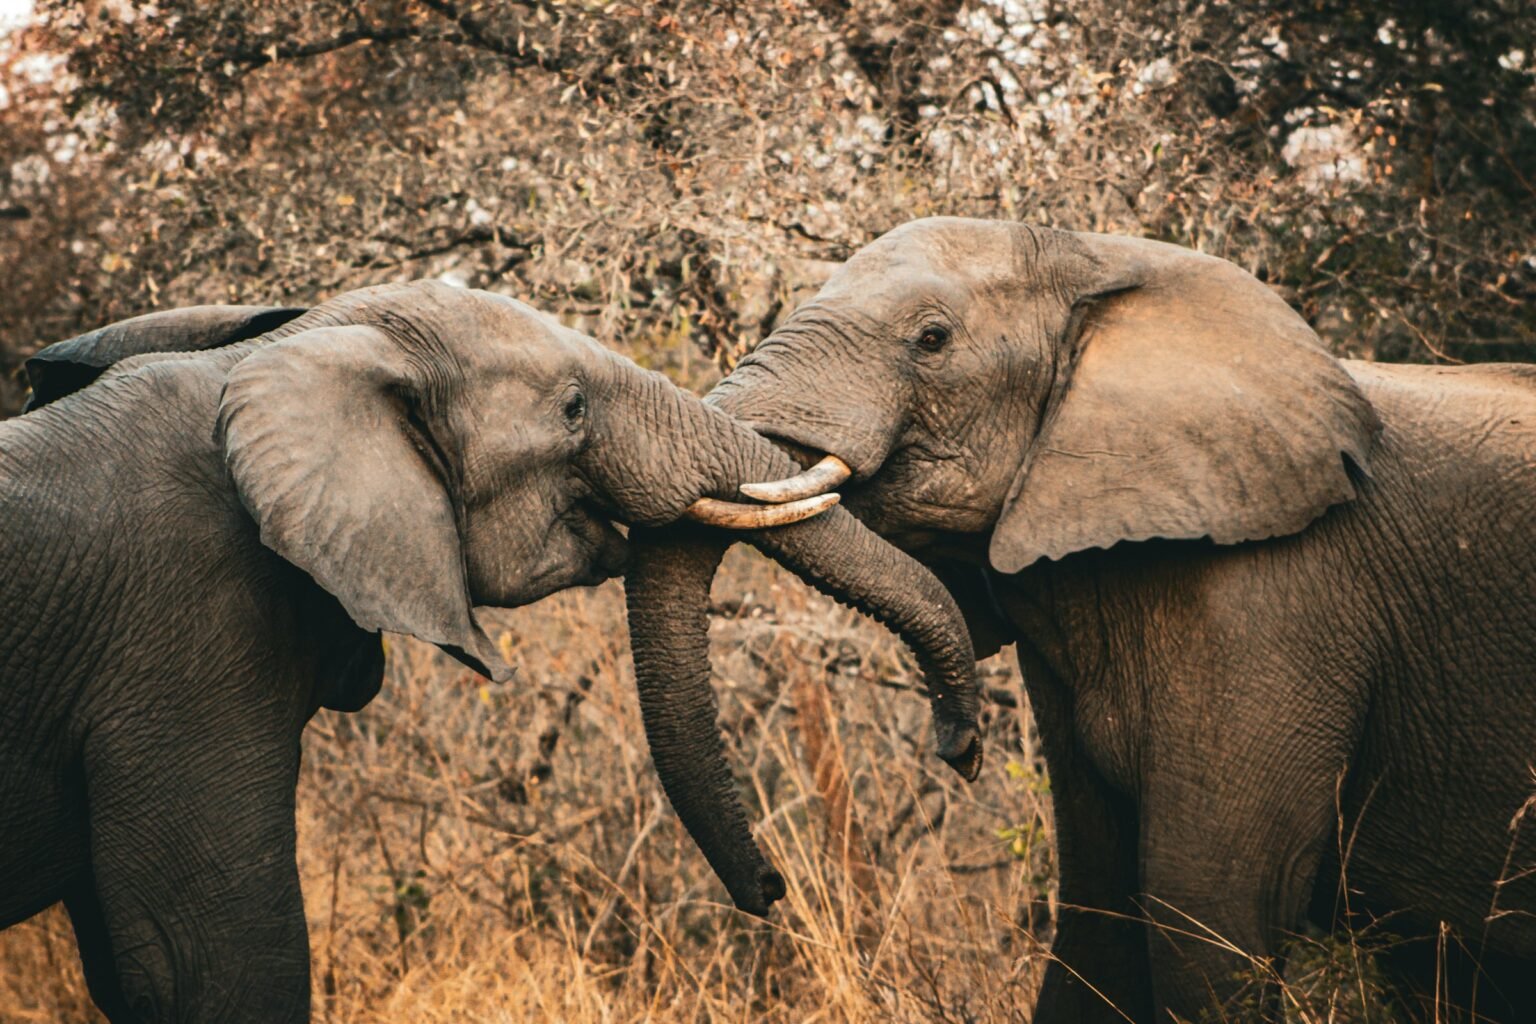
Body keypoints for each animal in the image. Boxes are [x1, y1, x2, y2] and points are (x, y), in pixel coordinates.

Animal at [624, 218, 1536, 1021]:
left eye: (931, 340)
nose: (770, 890)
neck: (1101, 260)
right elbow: (1099, 921)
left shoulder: (1277, 602)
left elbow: (1209, 922)